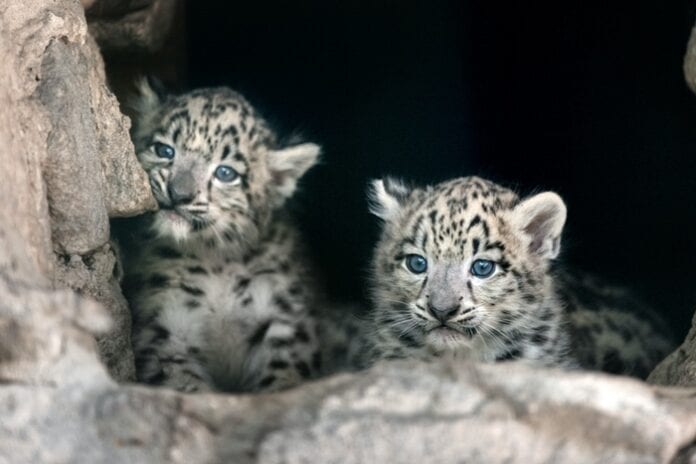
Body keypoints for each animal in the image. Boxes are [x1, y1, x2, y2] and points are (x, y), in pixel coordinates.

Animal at [117, 79, 323, 393]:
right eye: (164, 150)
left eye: (226, 173)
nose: (178, 194)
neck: (216, 262)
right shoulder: (165, 328)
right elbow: (184, 383)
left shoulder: (285, 322)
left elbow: (284, 376)